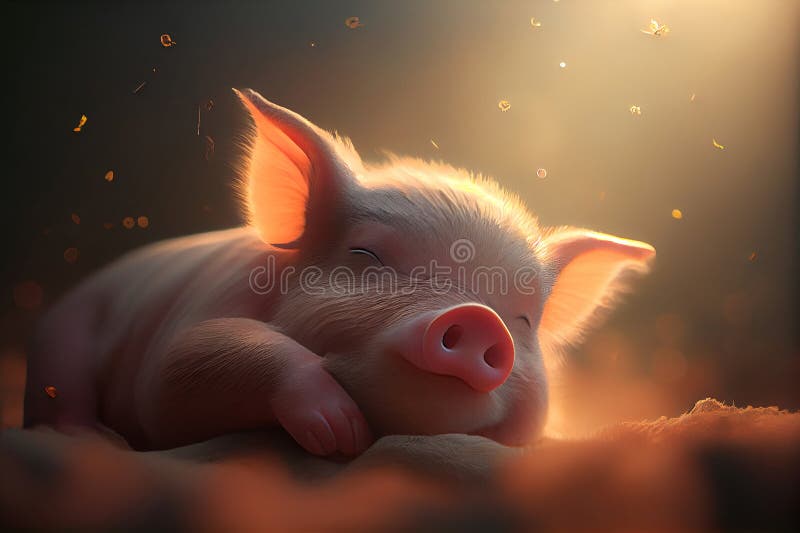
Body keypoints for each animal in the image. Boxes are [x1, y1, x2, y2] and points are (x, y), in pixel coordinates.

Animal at [23, 88, 654, 458]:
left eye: (522, 320)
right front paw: (340, 435)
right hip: (60, 340)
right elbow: (195, 358)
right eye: (367, 257)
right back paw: (90, 441)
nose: (478, 319)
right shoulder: (181, 348)